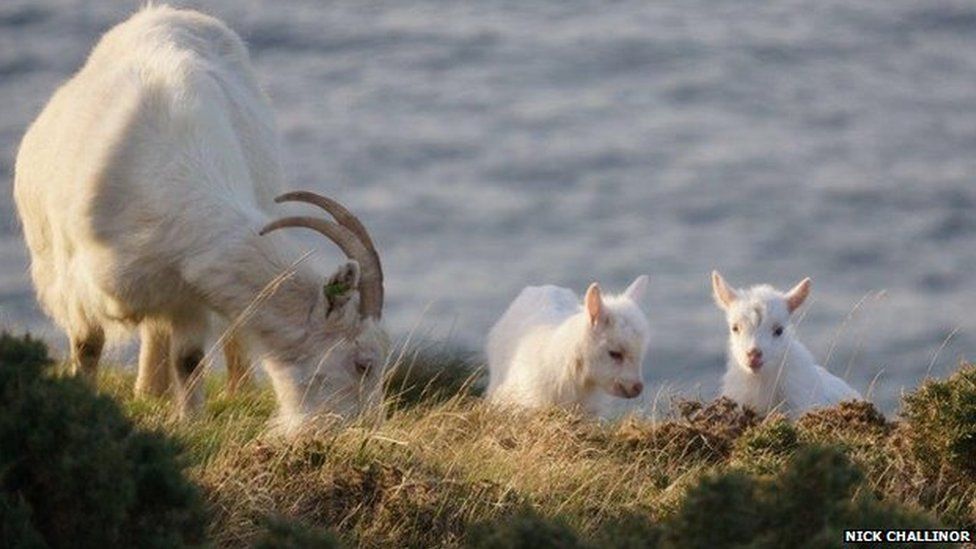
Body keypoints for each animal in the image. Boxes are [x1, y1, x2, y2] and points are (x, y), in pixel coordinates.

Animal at [13, 6, 388, 432]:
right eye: (363, 364)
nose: (366, 431)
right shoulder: (74, 284)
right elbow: (88, 346)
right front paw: (82, 405)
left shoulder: (187, 292)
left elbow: (189, 360)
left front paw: (189, 423)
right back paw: (150, 392)